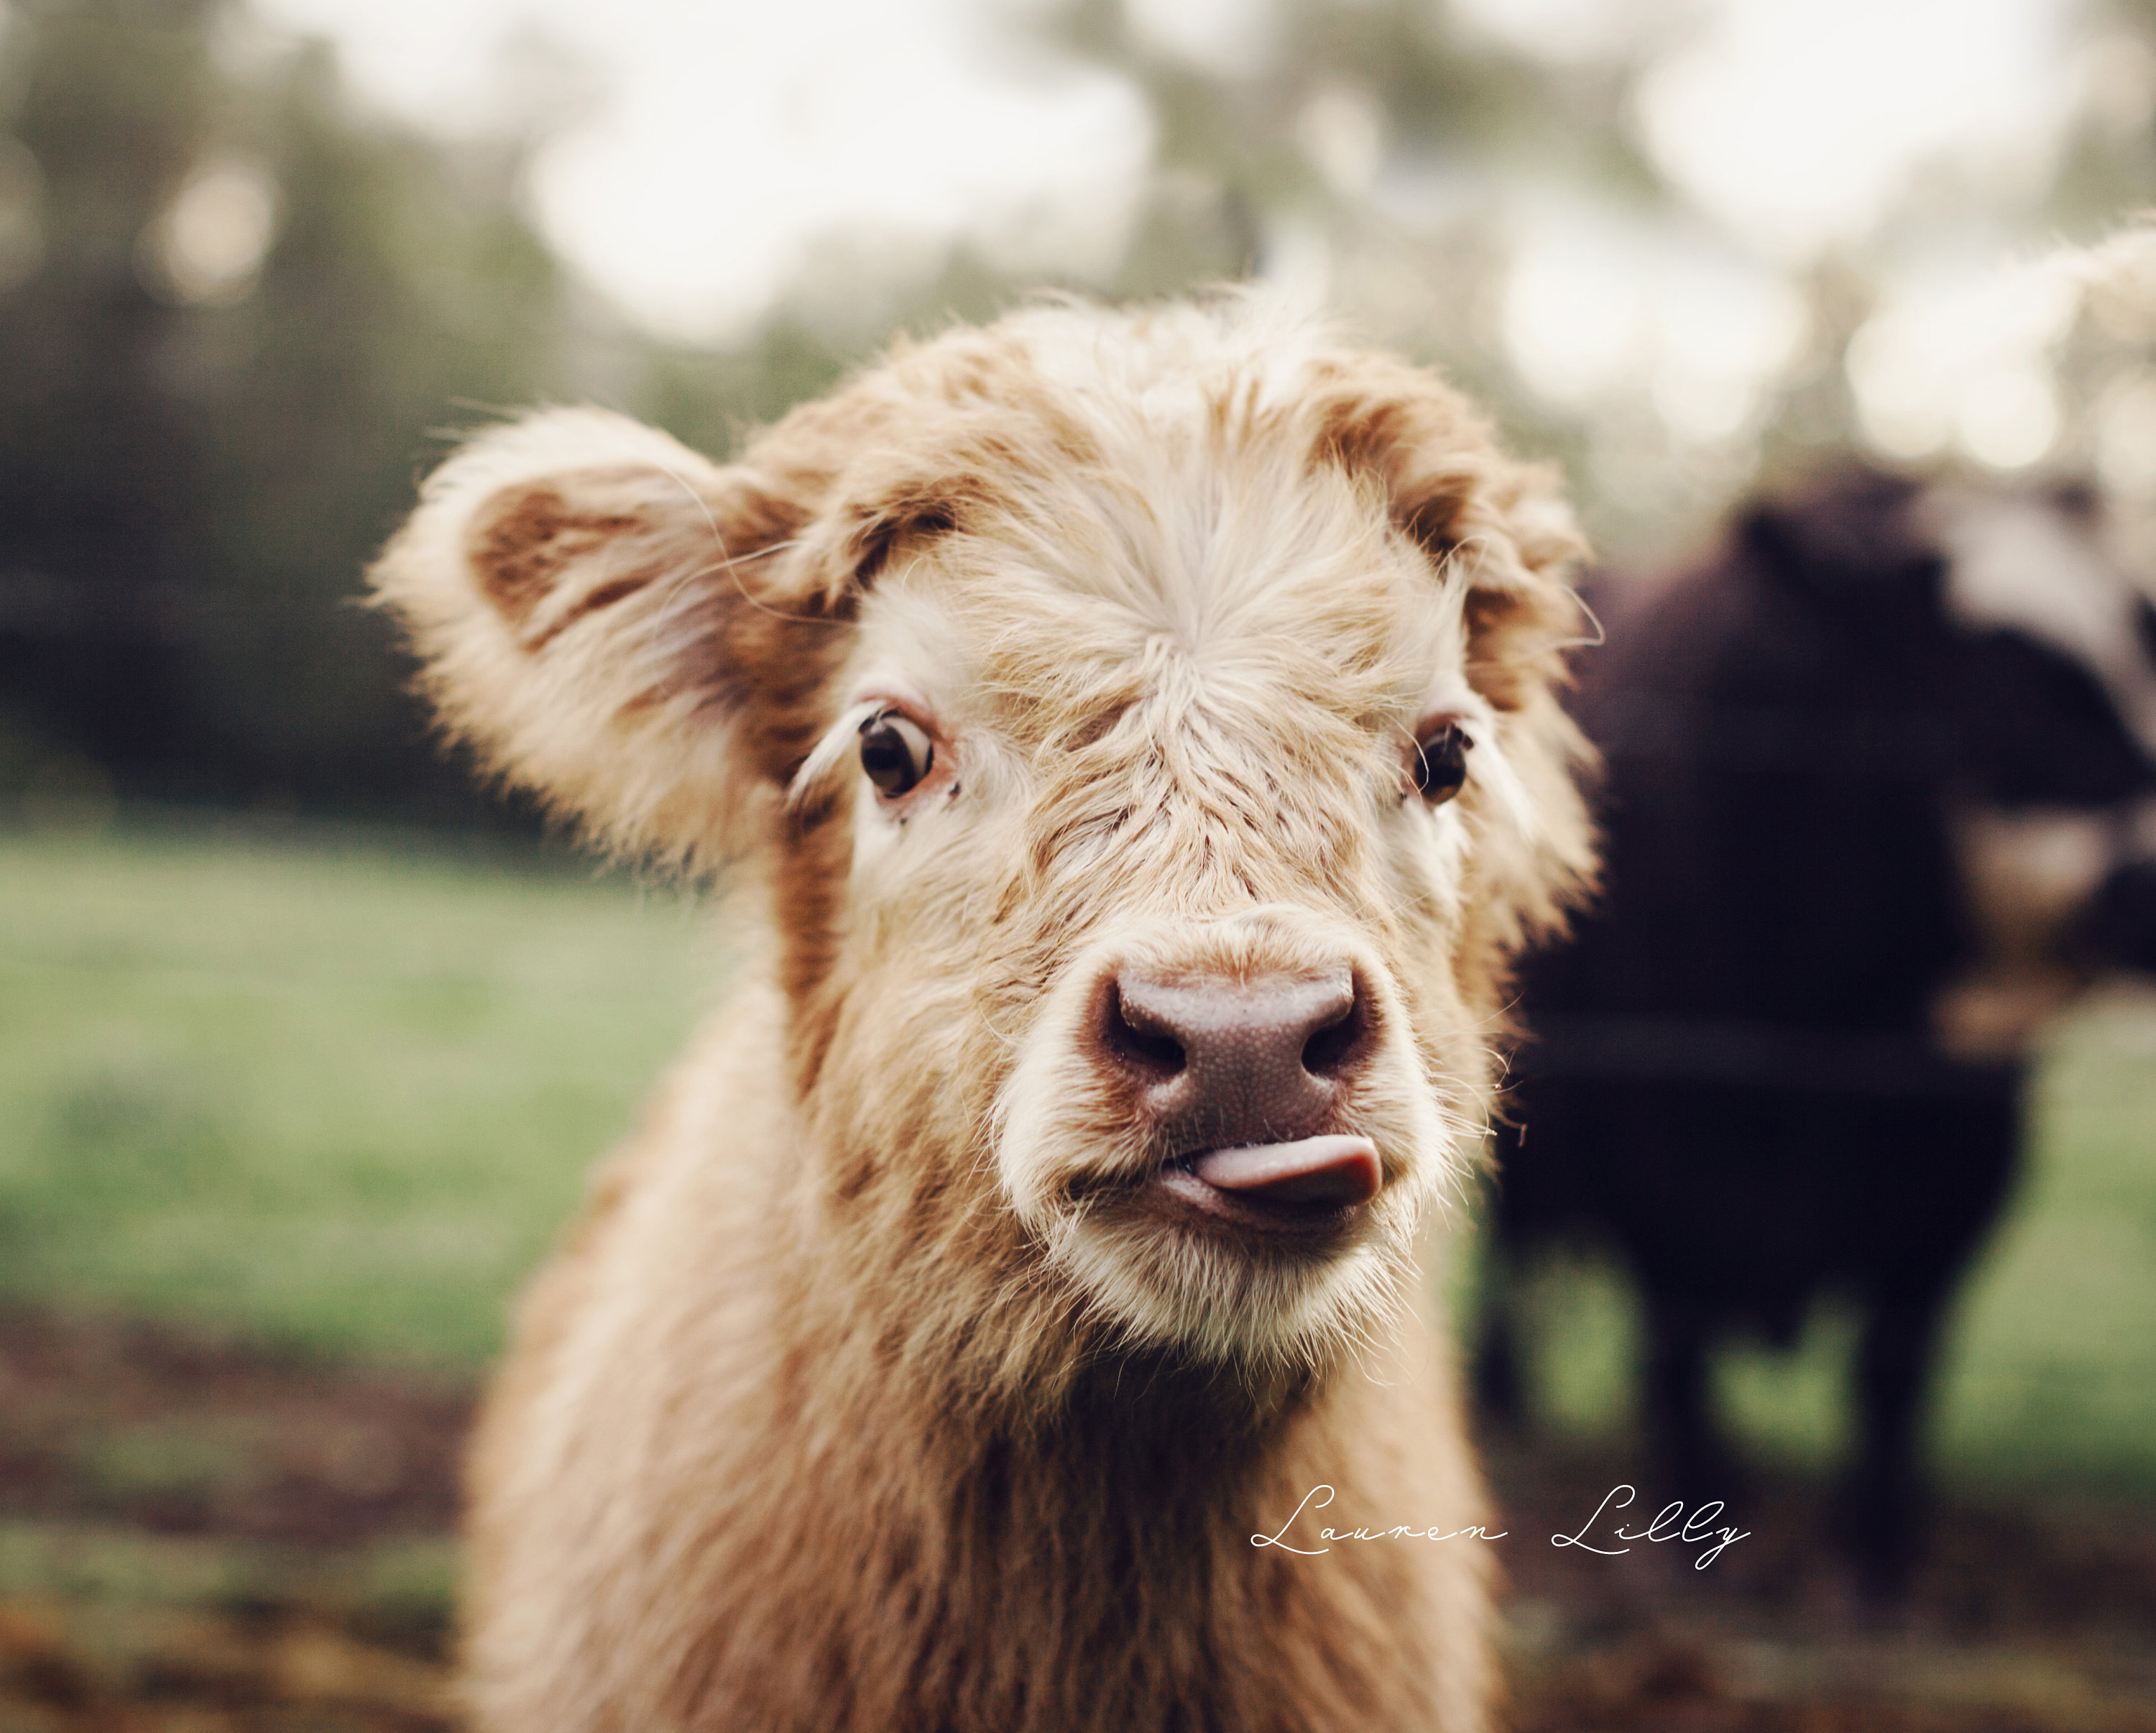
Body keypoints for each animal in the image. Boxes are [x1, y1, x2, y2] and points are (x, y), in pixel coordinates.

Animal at [1475, 462, 2156, 1596]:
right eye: (2014, 679)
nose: (2143, 881)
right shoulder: (1646, 1140)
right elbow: (1679, 1339)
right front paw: (1692, 1528)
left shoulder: (1958, 1162)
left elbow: (1892, 1366)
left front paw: (1878, 1559)